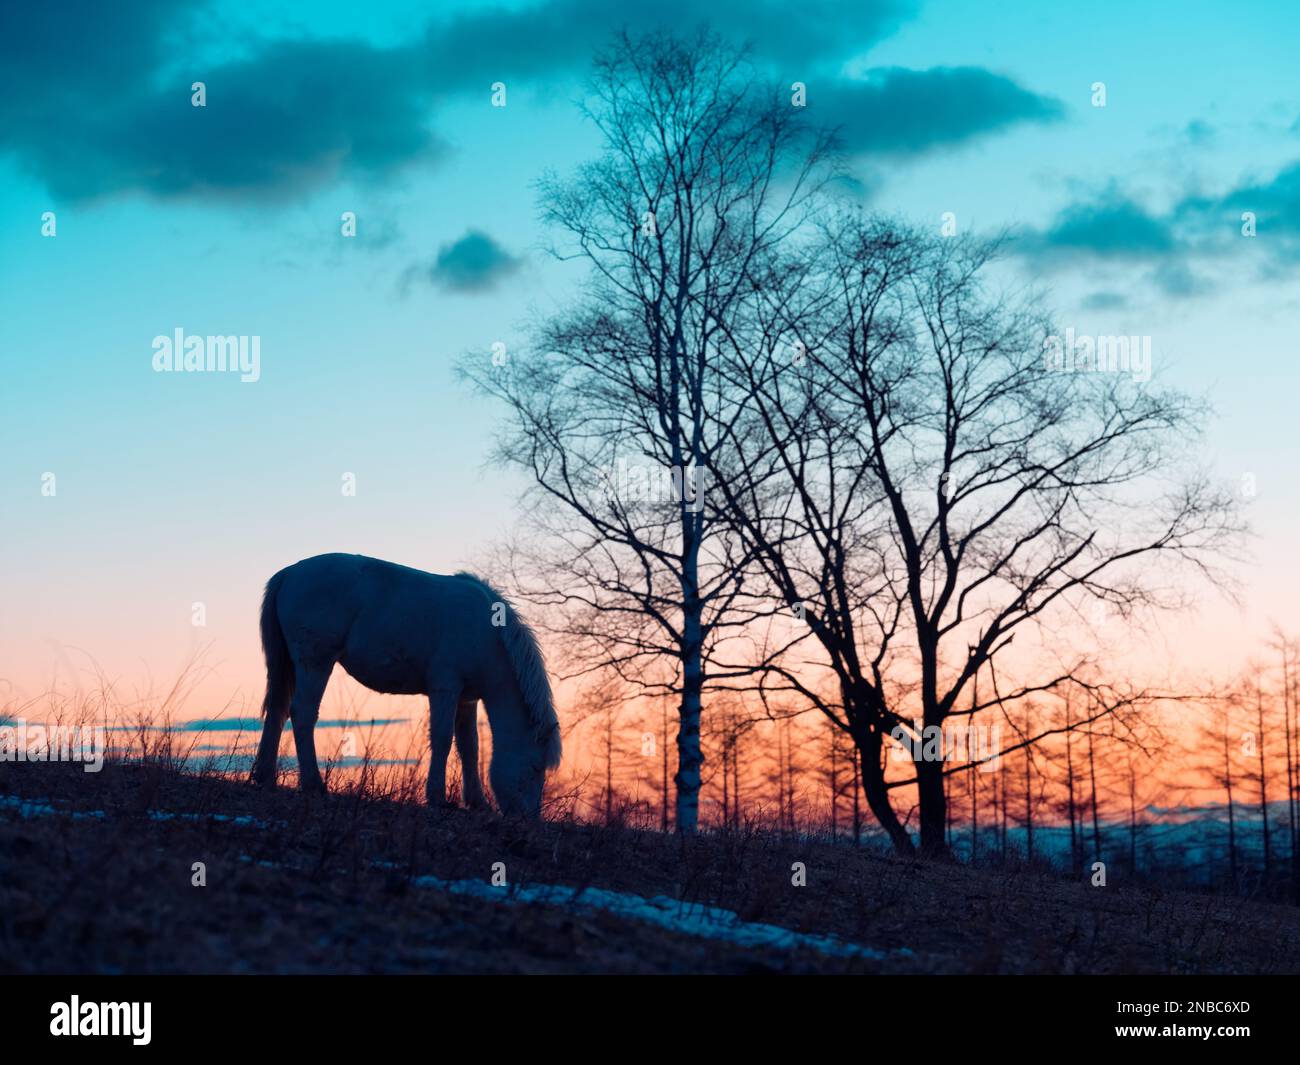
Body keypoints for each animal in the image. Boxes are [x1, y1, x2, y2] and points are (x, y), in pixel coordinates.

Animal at [250, 553, 561, 818]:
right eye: (535, 768)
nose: (530, 819)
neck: (488, 632)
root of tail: (290, 572)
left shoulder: (466, 699)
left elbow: (469, 747)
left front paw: (477, 802)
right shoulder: (445, 689)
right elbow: (443, 739)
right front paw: (437, 797)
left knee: (277, 712)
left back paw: (265, 777)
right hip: (315, 663)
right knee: (302, 713)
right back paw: (313, 784)